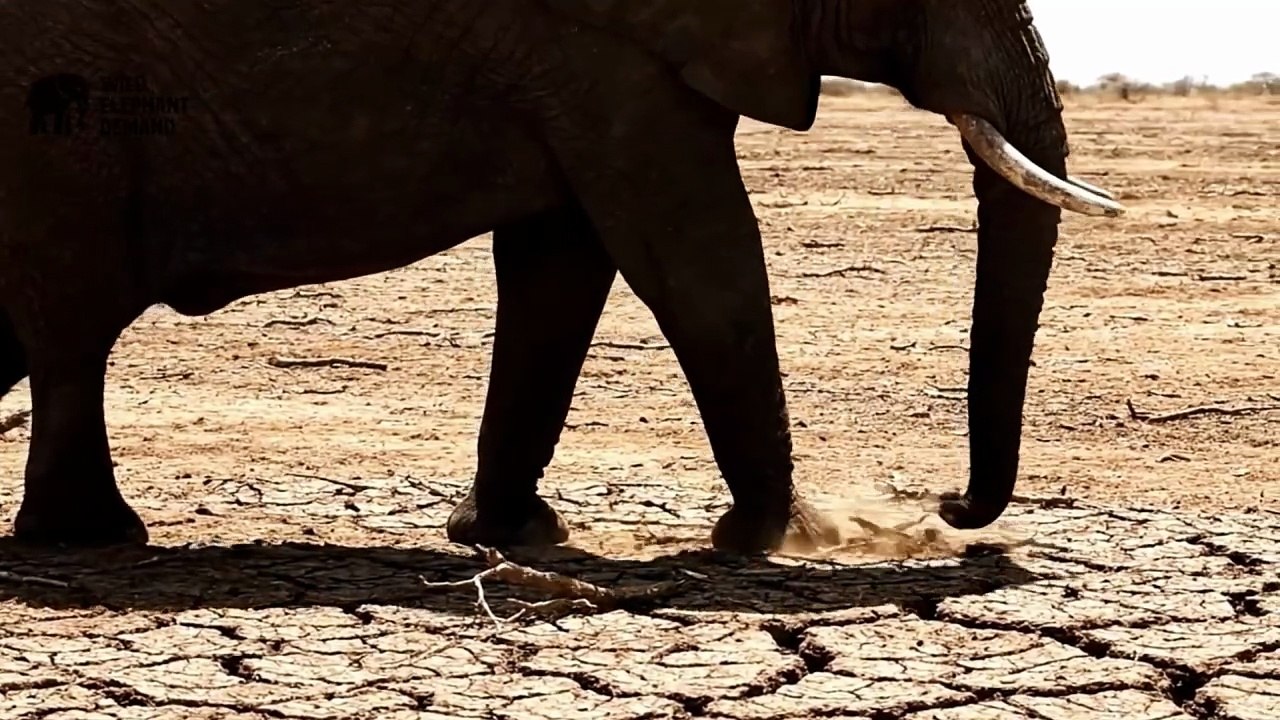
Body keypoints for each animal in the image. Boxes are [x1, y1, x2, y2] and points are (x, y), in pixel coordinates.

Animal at [0, 0, 1123, 553]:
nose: (947, 504)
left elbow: (561, 269)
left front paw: (509, 535)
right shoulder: (603, 52)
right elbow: (692, 251)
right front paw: (776, 539)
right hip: (52, 118)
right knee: (73, 323)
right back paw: (91, 540)